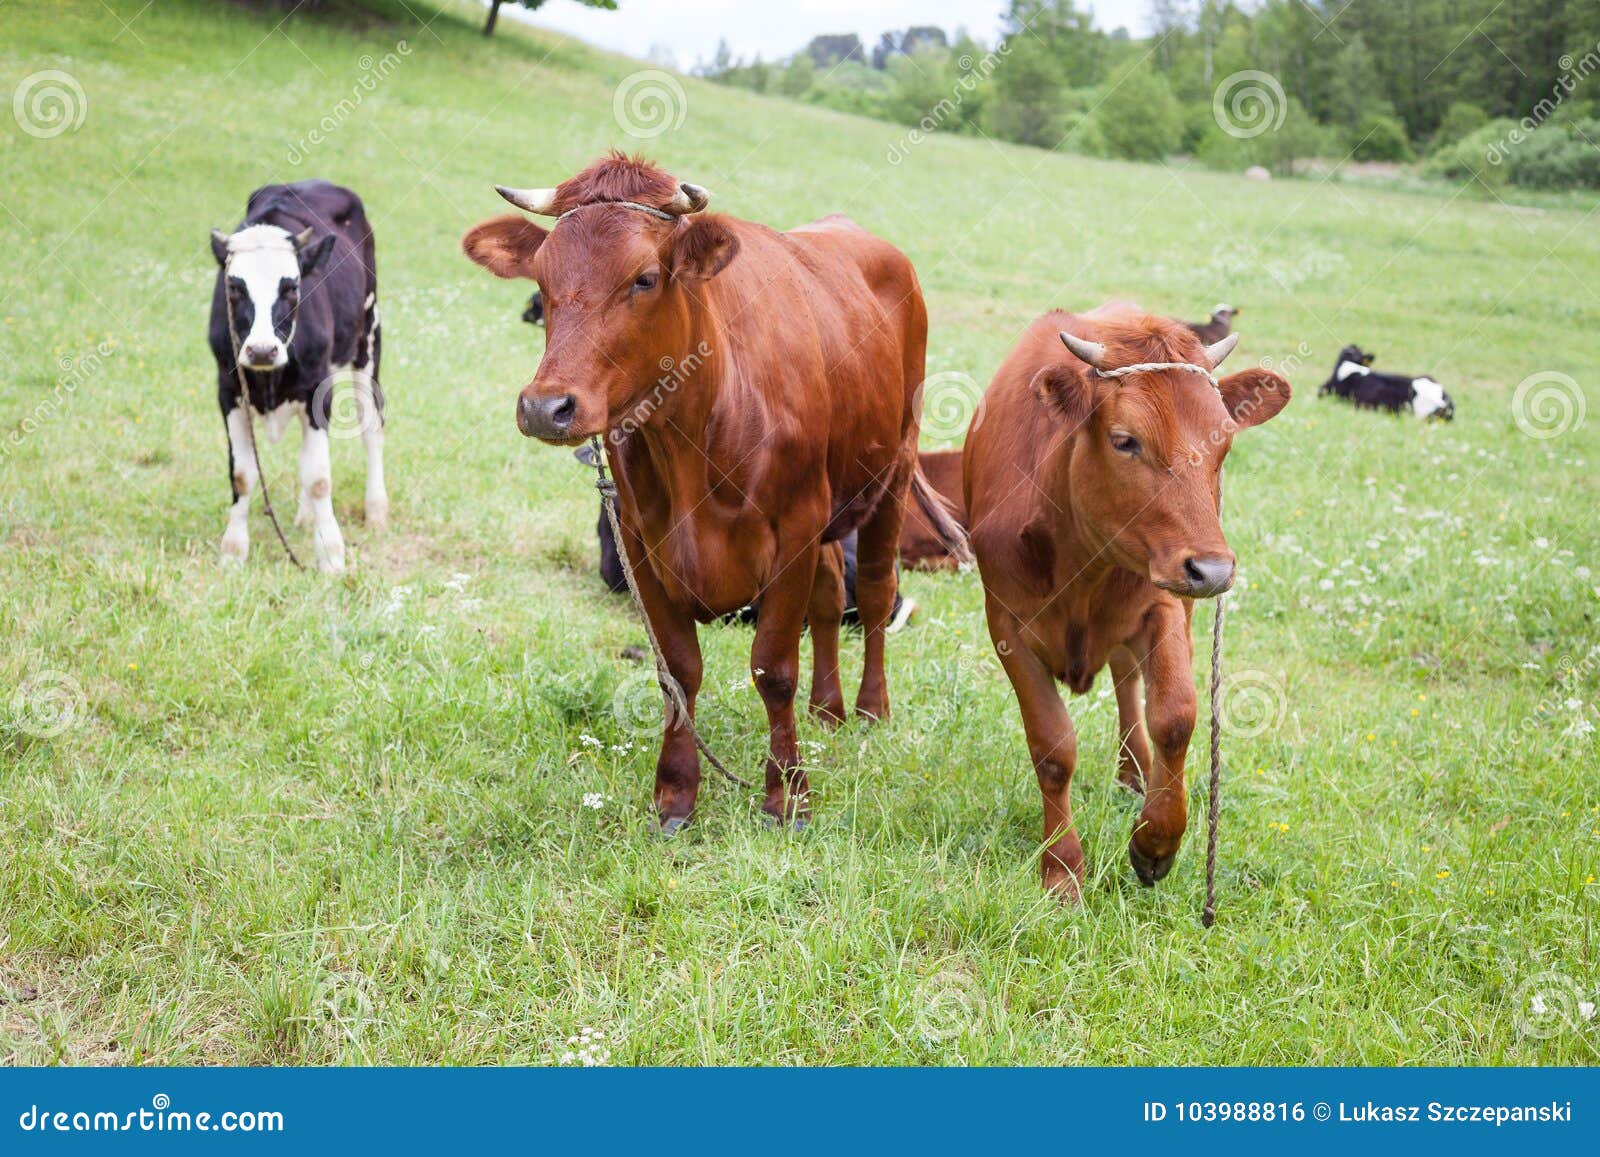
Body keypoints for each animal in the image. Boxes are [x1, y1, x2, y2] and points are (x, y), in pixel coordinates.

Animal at [209, 180, 386, 573]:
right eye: (234, 288)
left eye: (291, 288)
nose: (261, 350)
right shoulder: (227, 390)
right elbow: (241, 475)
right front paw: (232, 551)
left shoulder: (317, 389)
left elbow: (318, 477)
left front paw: (331, 554)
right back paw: (307, 517)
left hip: (368, 338)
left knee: (371, 427)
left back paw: (376, 510)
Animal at [461, 152, 966, 831]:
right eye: (542, 281)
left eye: (645, 279)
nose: (545, 407)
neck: (695, 435)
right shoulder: (640, 542)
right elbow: (677, 670)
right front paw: (675, 795)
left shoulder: (794, 529)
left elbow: (773, 668)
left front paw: (787, 796)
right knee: (830, 596)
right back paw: (827, 710)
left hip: (893, 470)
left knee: (877, 590)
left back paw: (868, 710)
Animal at [963, 304, 1290, 899]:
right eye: (1124, 440)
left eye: (1225, 444)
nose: (1213, 570)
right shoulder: (1006, 624)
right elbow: (1053, 747)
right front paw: (1062, 867)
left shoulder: (1164, 605)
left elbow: (1176, 717)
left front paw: (1156, 842)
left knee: (1128, 683)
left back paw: (1135, 776)